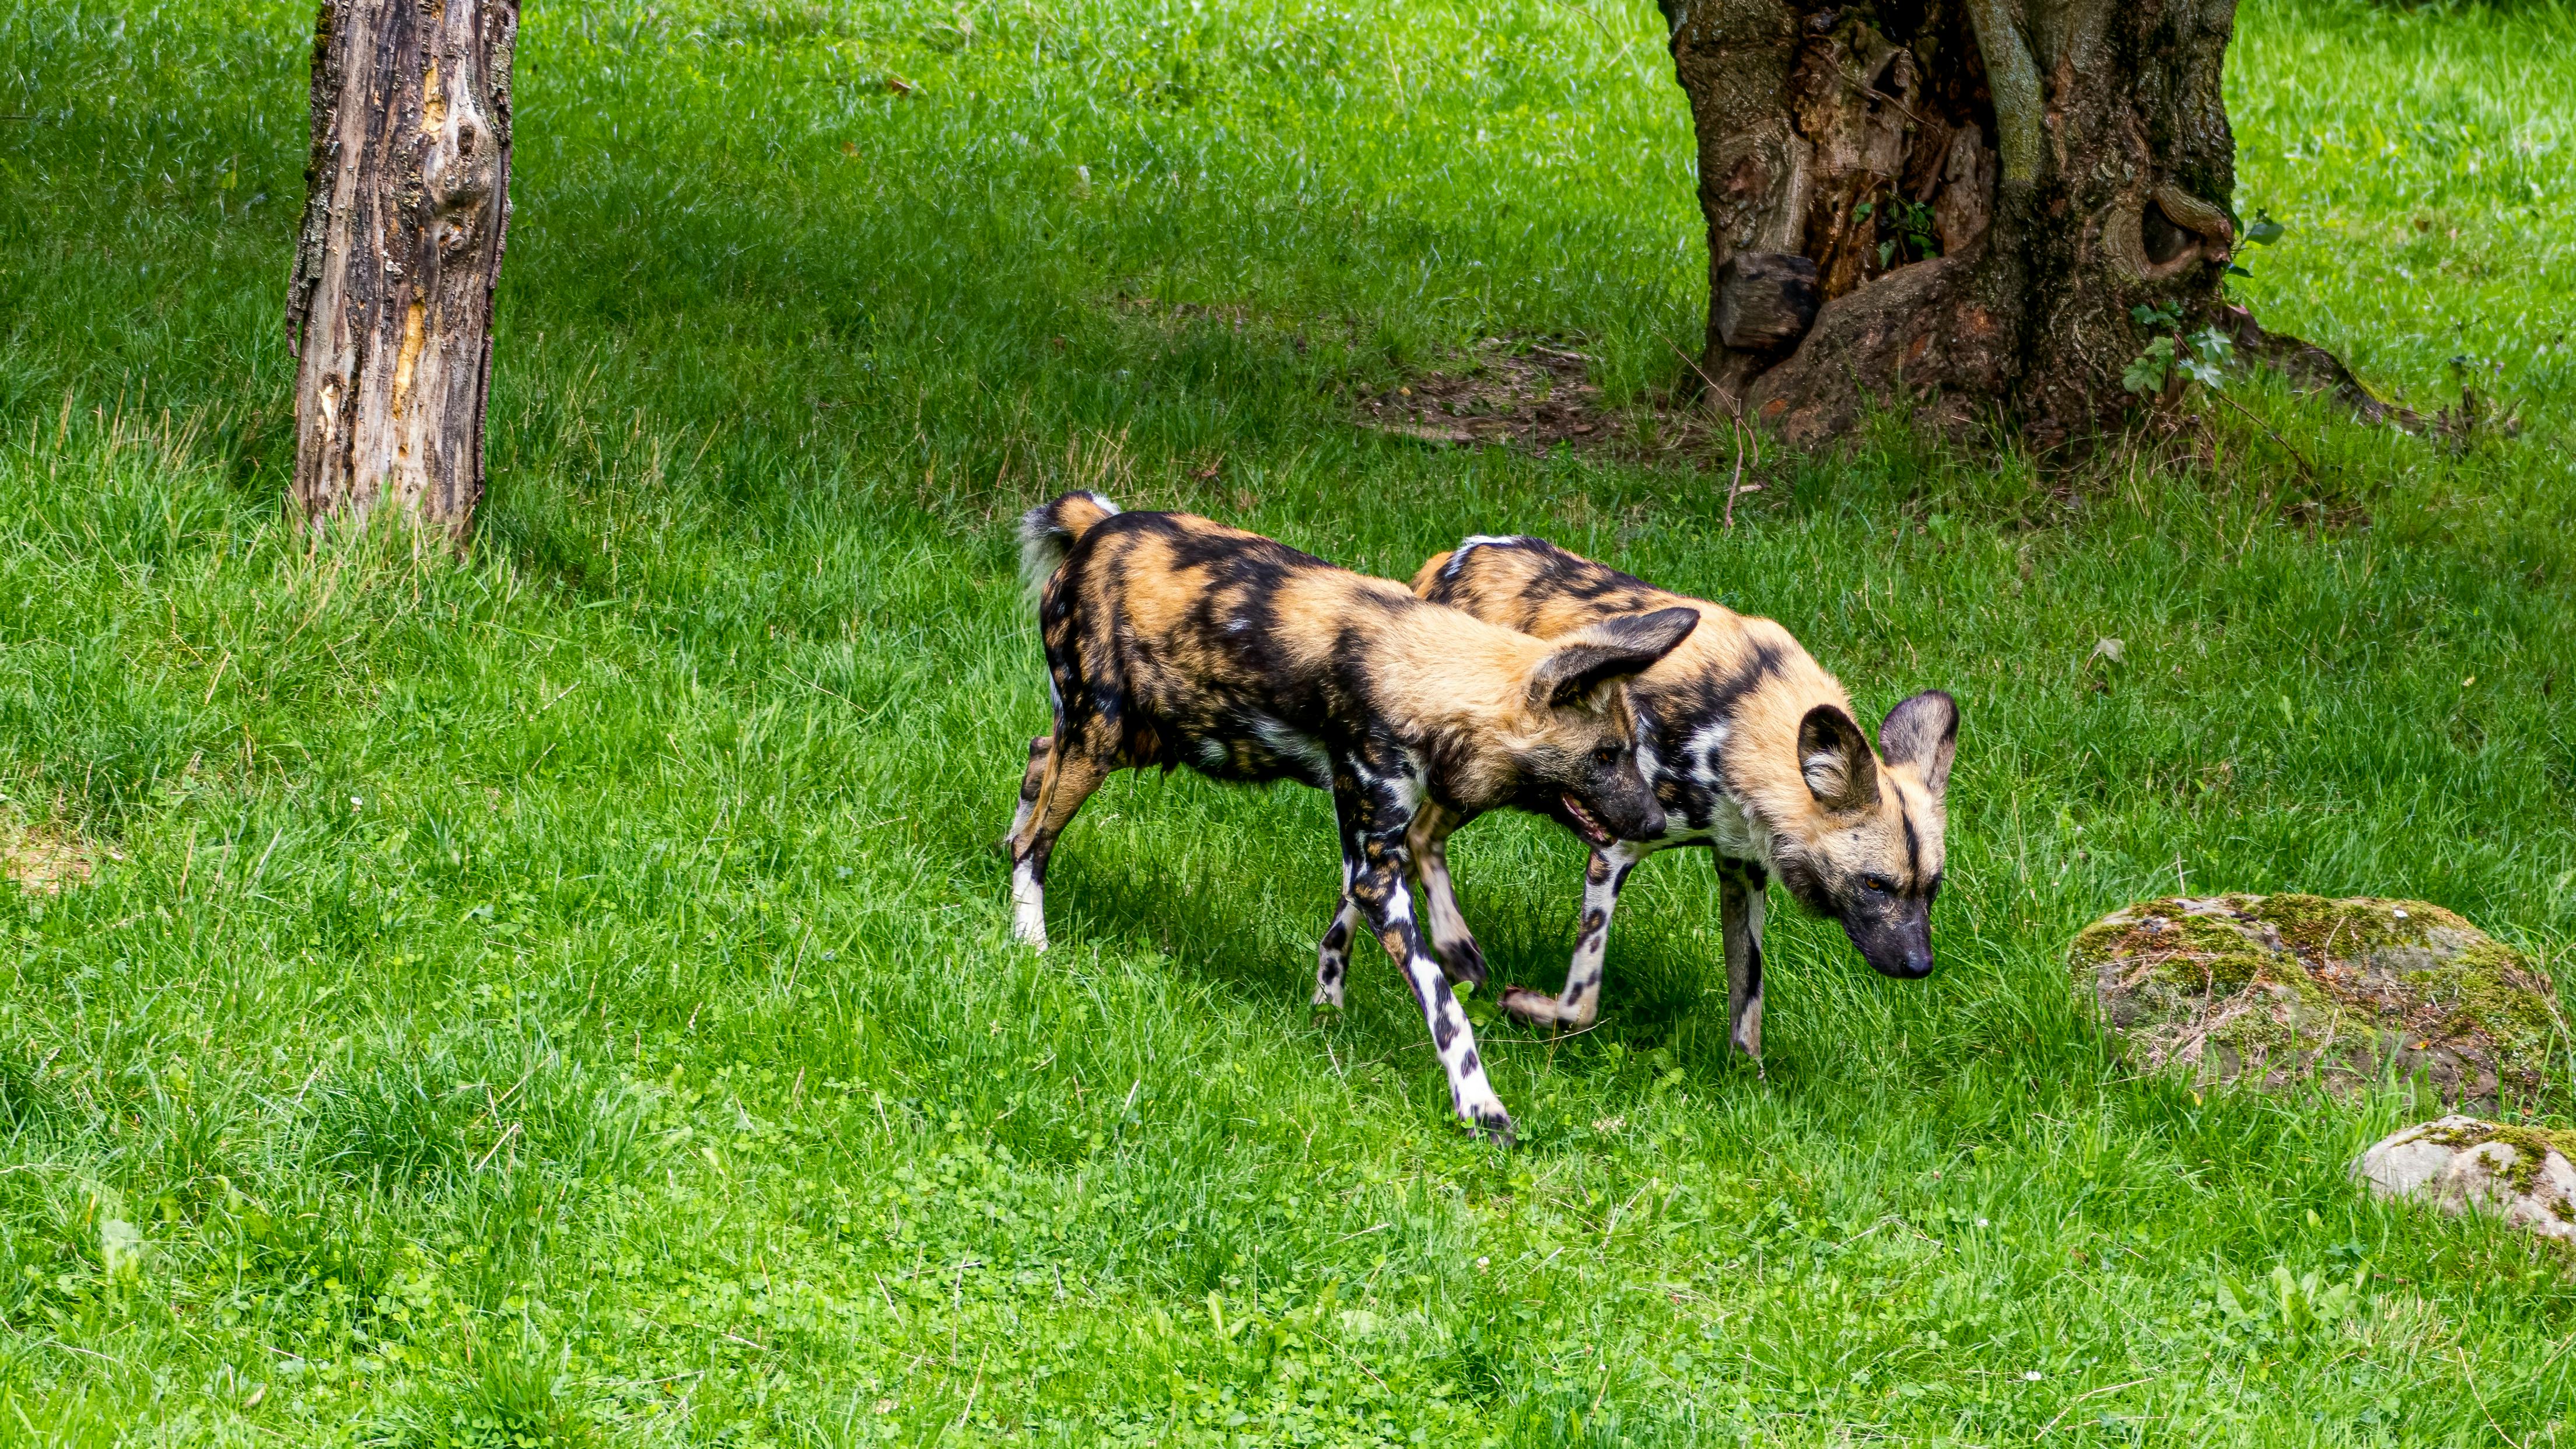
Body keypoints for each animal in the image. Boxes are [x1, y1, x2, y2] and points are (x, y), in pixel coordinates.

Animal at [1004, 494, 1701, 1139]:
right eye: (1605, 756)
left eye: (1631, 751)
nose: (1654, 824)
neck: (1431, 679)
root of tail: (1101, 527)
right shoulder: (1376, 866)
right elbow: (1445, 1003)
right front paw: (1480, 1106)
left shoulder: (1371, 848)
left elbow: (1340, 932)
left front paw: (1326, 1008)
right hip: (1105, 734)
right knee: (1037, 844)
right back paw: (1030, 941)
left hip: (1148, 736)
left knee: (1038, 758)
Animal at [1410, 534, 1956, 1058]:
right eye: (1874, 884)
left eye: (1932, 888)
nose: (1919, 965)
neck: (1741, 731)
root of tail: (1452, 559)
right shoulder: (1616, 846)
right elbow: (1580, 1005)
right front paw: (1526, 1008)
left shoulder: (1743, 870)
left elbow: (1748, 1006)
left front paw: (1749, 1081)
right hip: (1475, 783)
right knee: (1415, 839)